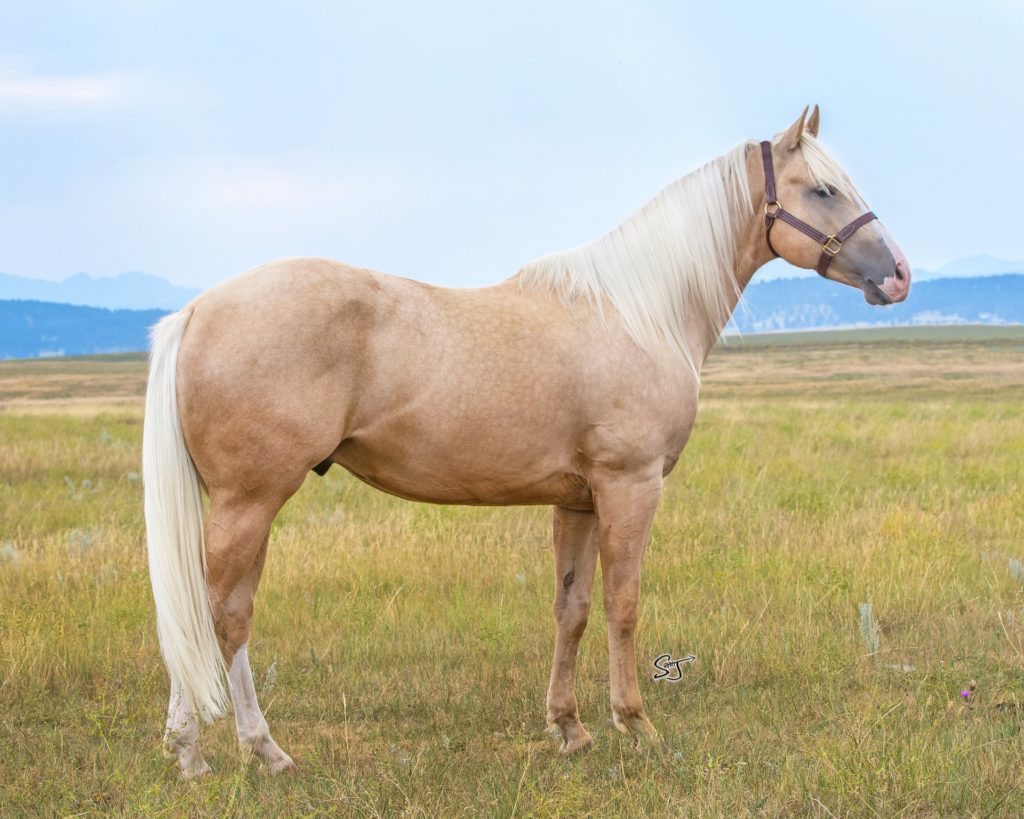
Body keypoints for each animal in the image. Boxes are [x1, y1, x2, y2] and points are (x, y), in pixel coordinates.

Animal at [143, 106, 911, 778]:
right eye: (823, 189)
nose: (899, 274)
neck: (641, 313)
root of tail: (198, 309)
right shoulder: (630, 486)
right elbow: (623, 603)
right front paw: (636, 725)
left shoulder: (578, 501)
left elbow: (572, 609)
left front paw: (568, 728)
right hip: (251, 500)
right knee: (221, 615)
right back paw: (244, 750)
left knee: (203, 611)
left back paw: (196, 749)